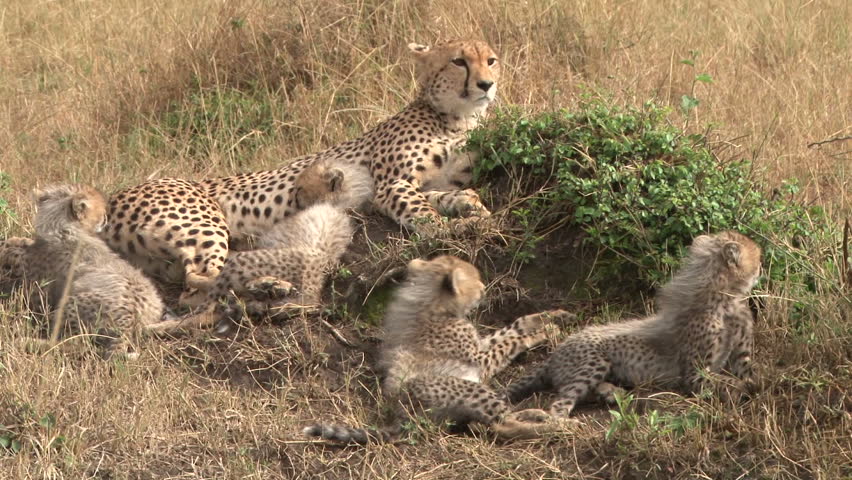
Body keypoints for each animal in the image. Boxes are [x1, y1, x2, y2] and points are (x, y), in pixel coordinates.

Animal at [3, 184, 174, 356]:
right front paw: (15, 241)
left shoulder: (38, 292)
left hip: (70, 307)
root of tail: (130, 322)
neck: (64, 229)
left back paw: (26, 342)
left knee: (75, 344)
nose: (106, 218)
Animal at [102, 39, 499, 301]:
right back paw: (266, 286)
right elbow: (424, 213)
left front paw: (473, 209)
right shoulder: (391, 185)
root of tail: (112, 198)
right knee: (200, 279)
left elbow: (452, 193)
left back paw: (263, 285)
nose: (487, 84)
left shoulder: (427, 182)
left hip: (162, 259)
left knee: (193, 282)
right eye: (459, 61)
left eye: (491, 60)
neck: (455, 118)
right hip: (203, 222)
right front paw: (450, 229)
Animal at [302, 255, 572, 443]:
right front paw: (545, 331)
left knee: (498, 421)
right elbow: (510, 340)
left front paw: (552, 316)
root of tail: (400, 413)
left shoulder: (481, 346)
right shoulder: (481, 361)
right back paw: (554, 426)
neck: (433, 306)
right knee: (503, 425)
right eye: (474, 281)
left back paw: (536, 414)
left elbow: (513, 328)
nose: (484, 288)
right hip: (466, 388)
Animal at [507, 231, 762, 419]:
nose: (762, 267)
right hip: (594, 361)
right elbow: (730, 381)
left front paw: (756, 386)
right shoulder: (694, 375)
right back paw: (562, 422)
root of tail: (557, 351)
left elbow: (748, 375)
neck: (725, 300)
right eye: (758, 257)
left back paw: (611, 393)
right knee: (561, 401)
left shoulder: (740, 357)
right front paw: (747, 389)